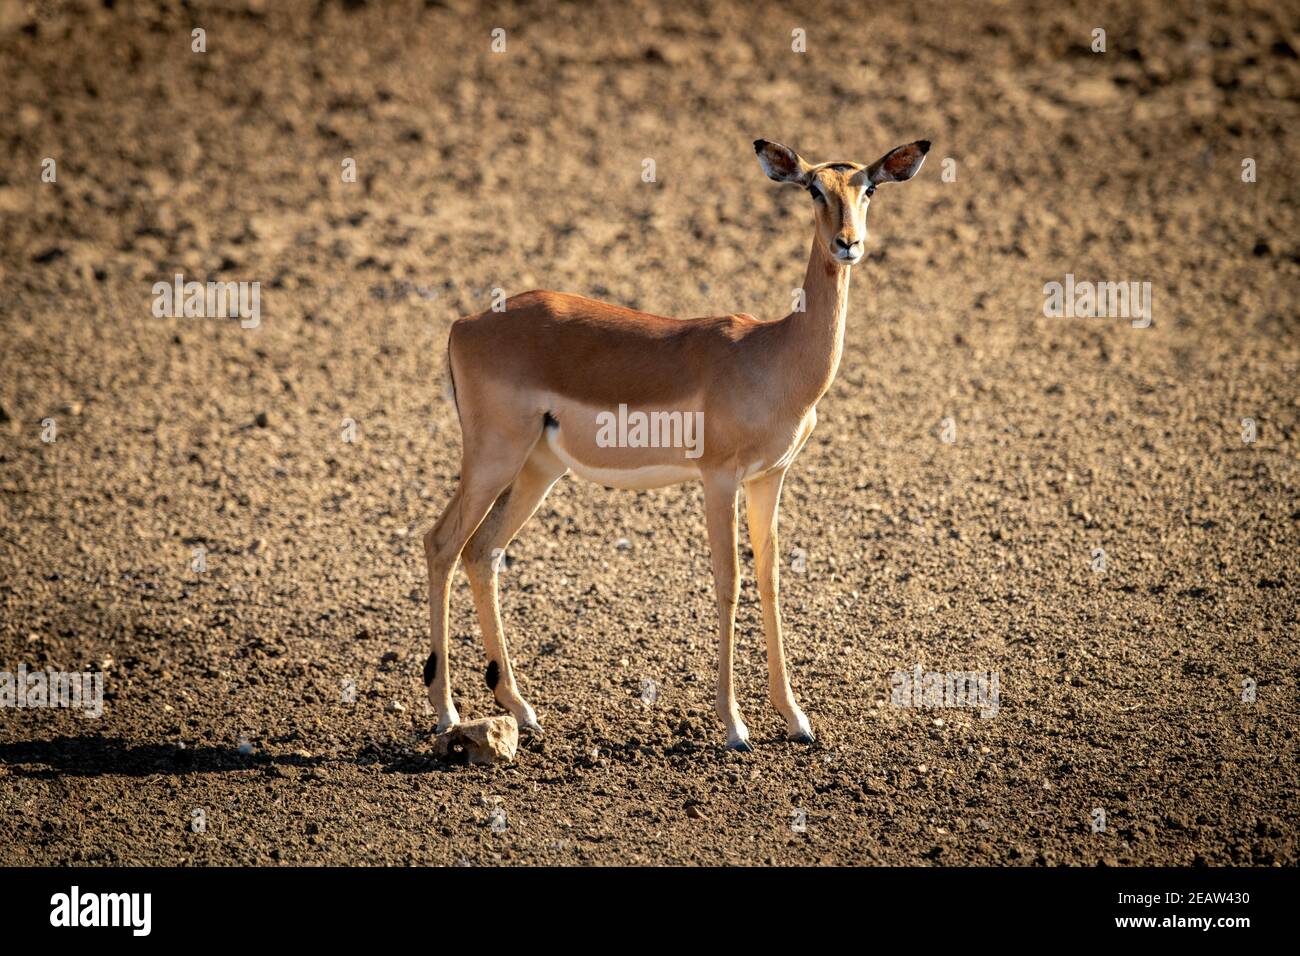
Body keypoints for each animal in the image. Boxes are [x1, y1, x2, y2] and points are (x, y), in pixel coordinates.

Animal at [423, 138, 930, 750]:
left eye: (868, 188)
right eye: (813, 189)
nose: (848, 243)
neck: (773, 355)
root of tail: (464, 324)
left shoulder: (769, 477)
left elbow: (770, 579)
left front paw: (797, 719)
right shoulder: (718, 478)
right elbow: (729, 581)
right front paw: (734, 726)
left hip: (537, 470)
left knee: (483, 552)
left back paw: (520, 709)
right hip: (492, 457)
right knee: (441, 543)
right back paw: (447, 712)